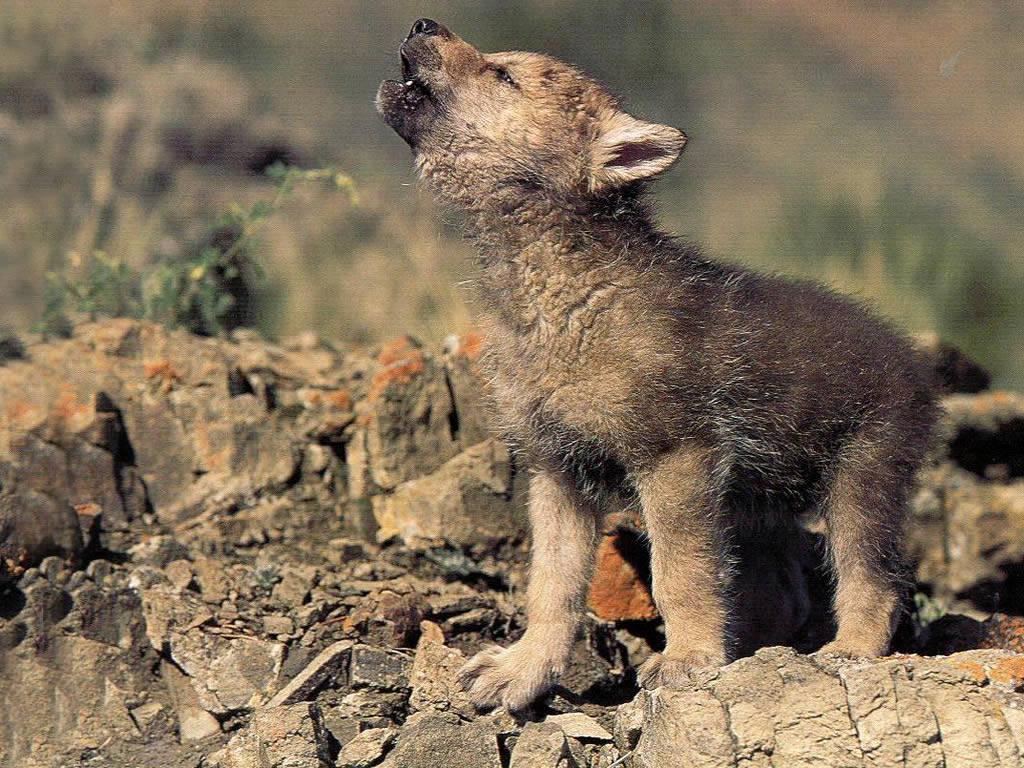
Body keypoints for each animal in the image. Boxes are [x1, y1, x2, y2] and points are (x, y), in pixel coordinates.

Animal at [377, 19, 938, 712]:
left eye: (503, 75)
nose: (421, 23)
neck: (561, 294)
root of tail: (916, 365)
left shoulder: (676, 458)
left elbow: (681, 573)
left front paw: (689, 660)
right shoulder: (557, 471)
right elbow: (552, 589)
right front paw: (523, 673)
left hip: (862, 483)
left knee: (876, 582)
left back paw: (848, 653)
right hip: (761, 506)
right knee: (786, 593)